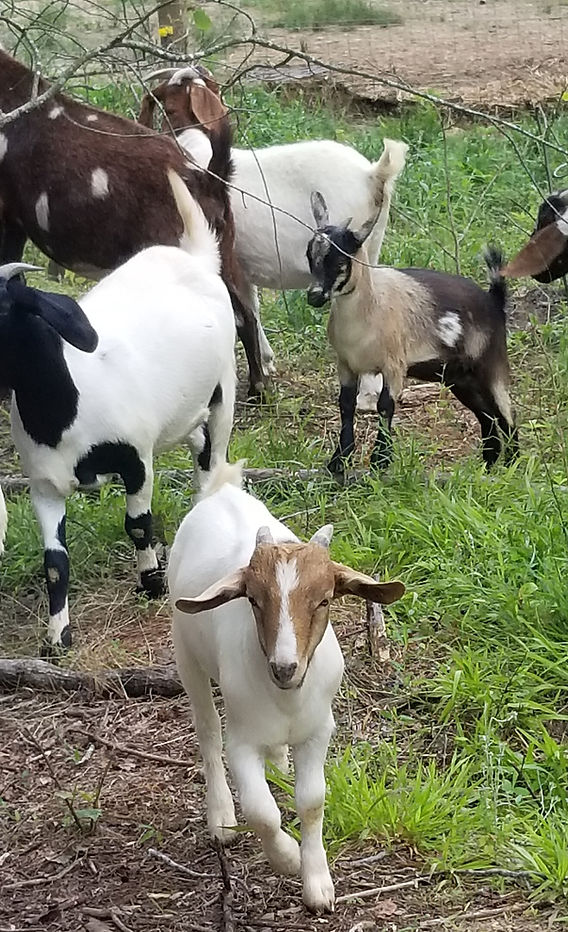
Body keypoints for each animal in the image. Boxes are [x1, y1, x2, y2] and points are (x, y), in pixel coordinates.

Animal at [1, 172, 236, 653]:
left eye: (2, 308)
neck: (63, 415)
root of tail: (197, 257)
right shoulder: (43, 484)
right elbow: (54, 561)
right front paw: (58, 635)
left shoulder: (137, 458)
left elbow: (138, 524)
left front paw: (152, 582)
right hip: (183, 413)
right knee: (197, 442)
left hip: (224, 390)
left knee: (212, 462)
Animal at [139, 72, 408, 405]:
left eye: (170, 107)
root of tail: (372, 174)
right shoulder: (242, 264)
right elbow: (251, 306)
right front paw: (267, 363)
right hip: (372, 242)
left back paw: (366, 396)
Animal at [168, 461, 405, 914]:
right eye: (253, 600)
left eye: (324, 599)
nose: (284, 666)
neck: (287, 697)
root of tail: (222, 490)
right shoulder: (241, 740)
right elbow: (261, 811)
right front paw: (289, 858)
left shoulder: (318, 731)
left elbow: (311, 802)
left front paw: (318, 885)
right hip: (186, 654)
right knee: (207, 730)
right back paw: (221, 817)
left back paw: (278, 765)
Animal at [306, 192, 518, 477]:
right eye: (309, 254)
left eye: (340, 261)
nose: (314, 296)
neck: (371, 305)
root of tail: (494, 301)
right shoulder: (346, 364)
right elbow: (346, 404)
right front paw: (339, 461)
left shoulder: (394, 365)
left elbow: (385, 406)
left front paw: (380, 461)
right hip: (461, 378)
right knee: (487, 417)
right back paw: (489, 465)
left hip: (491, 364)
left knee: (506, 415)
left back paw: (511, 465)